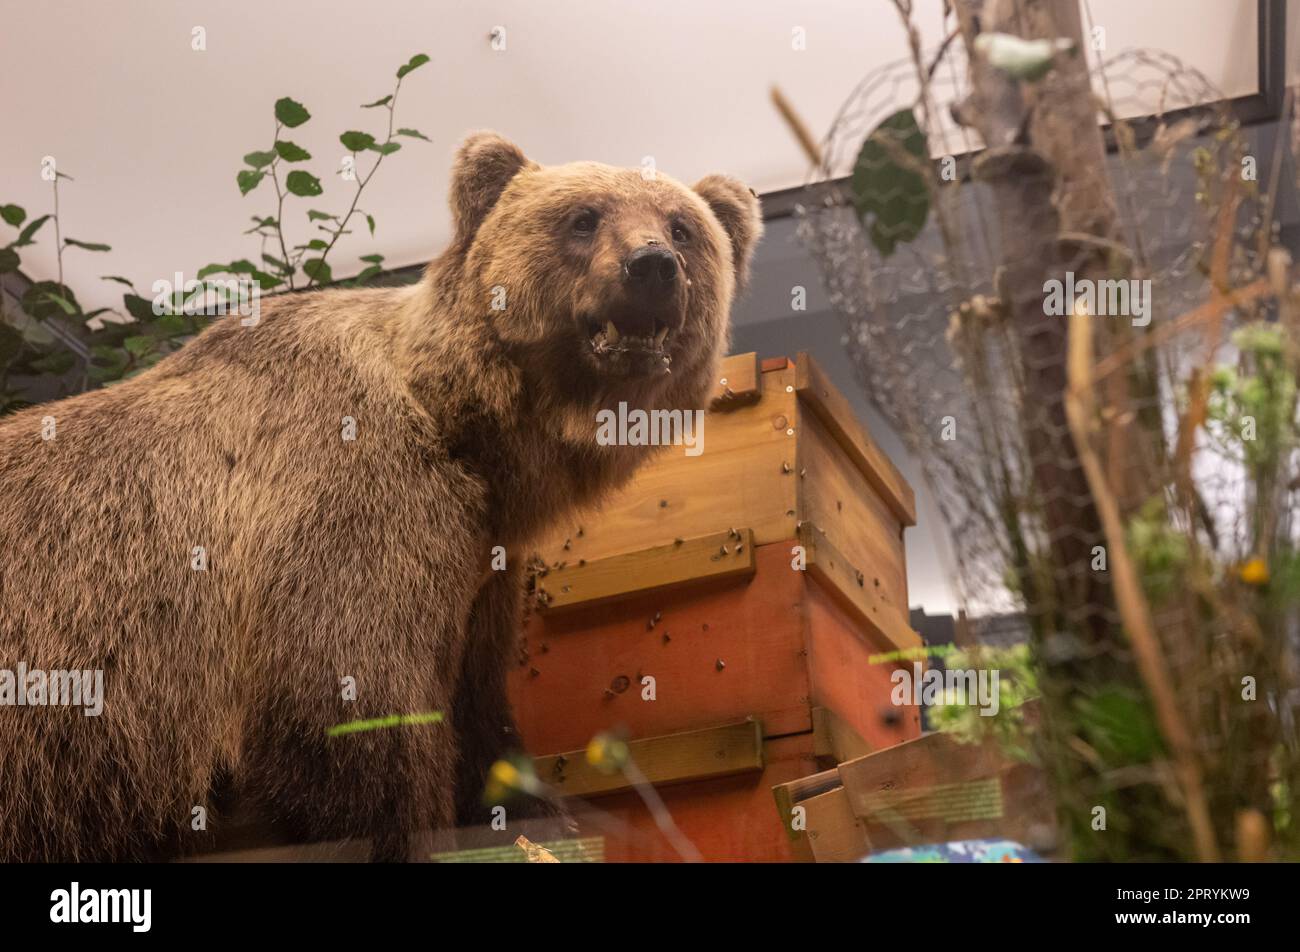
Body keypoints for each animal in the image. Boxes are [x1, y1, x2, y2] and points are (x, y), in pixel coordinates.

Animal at [0, 132, 762, 861]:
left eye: (683, 227)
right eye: (584, 217)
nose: (653, 266)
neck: (468, 431)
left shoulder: (480, 566)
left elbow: (478, 711)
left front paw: (536, 814)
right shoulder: (354, 508)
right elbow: (354, 726)